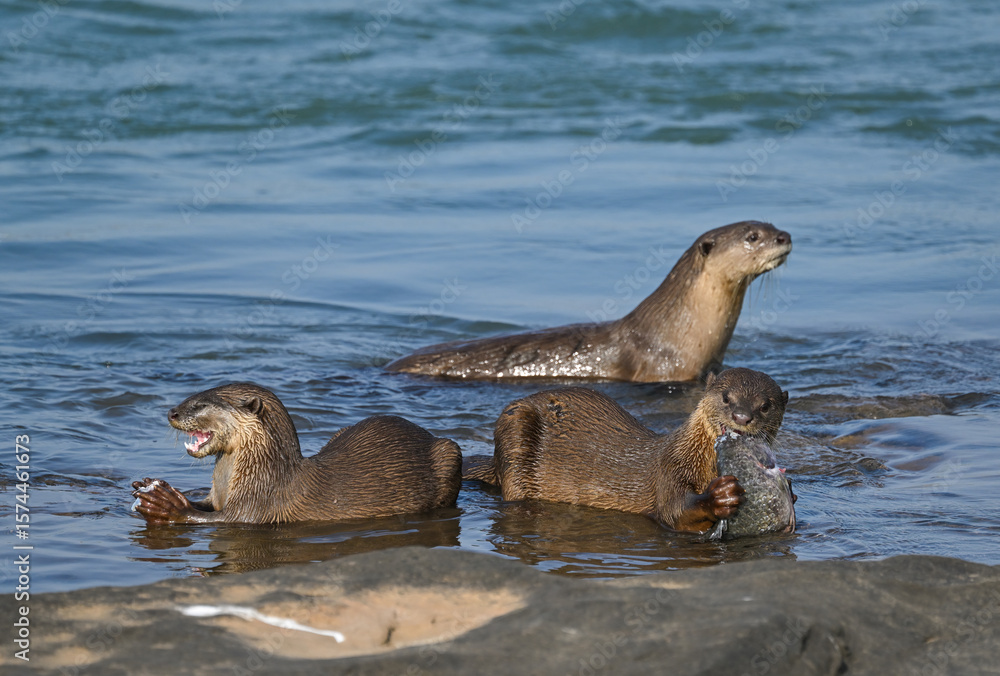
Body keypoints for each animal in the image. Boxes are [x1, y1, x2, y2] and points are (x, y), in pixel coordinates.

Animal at [131, 382, 462, 524]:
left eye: (200, 404)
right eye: (190, 396)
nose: (172, 412)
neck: (261, 471)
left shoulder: (259, 503)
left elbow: (227, 520)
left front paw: (169, 504)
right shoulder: (219, 497)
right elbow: (206, 505)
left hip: (450, 451)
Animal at [465, 368, 788, 533]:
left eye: (765, 405)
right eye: (726, 397)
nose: (742, 417)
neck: (700, 459)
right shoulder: (670, 467)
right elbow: (673, 511)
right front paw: (719, 497)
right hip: (514, 426)